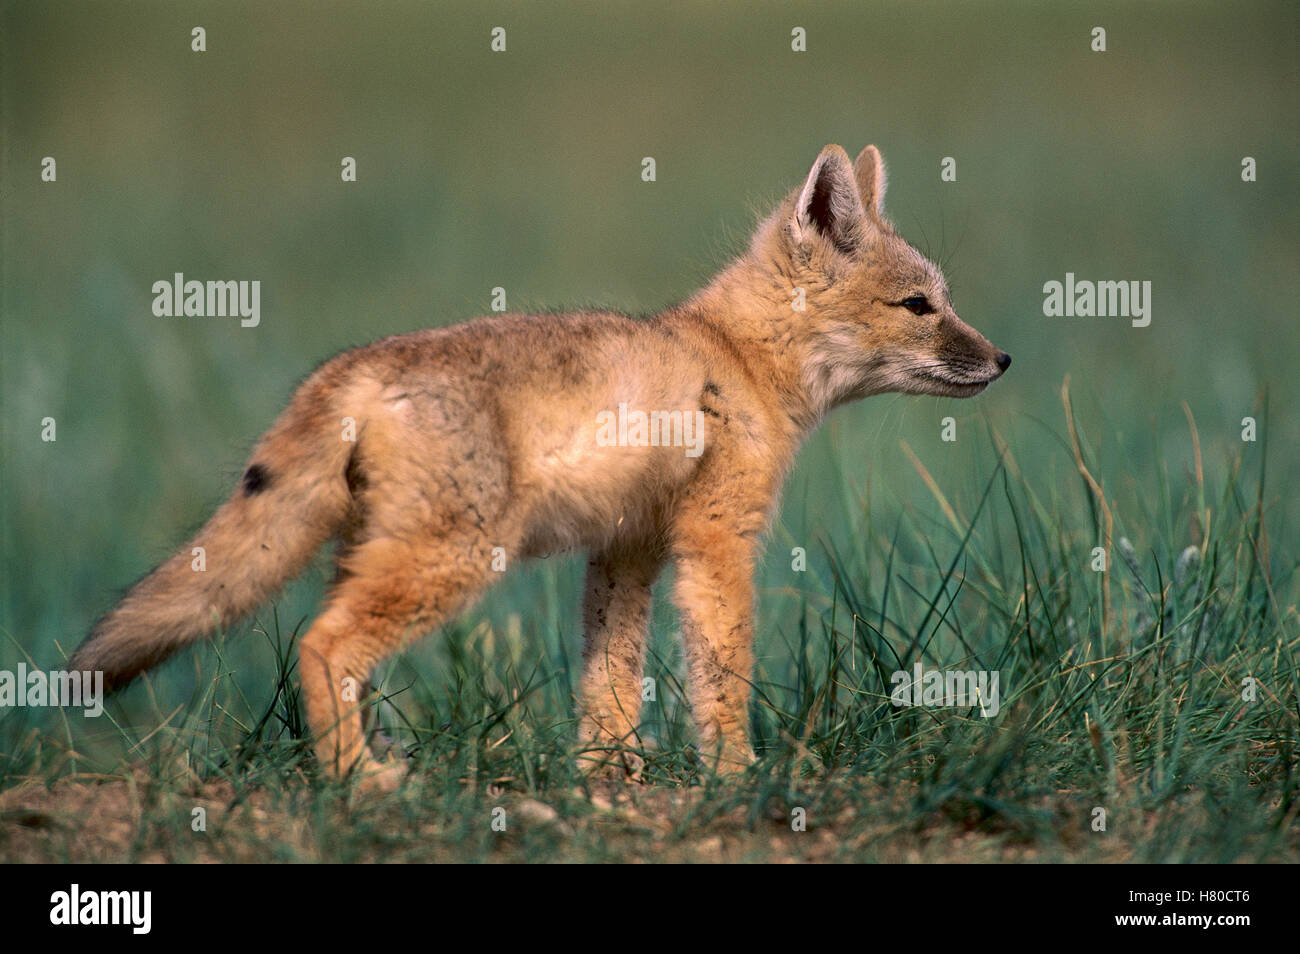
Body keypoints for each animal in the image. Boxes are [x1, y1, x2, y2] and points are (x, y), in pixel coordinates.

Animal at [69, 143, 1010, 791]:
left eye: (943, 302)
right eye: (919, 307)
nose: (1004, 359)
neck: (732, 357)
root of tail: (353, 366)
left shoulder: (627, 550)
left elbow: (610, 678)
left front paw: (611, 778)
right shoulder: (717, 543)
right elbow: (721, 672)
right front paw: (735, 775)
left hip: (382, 556)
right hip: (449, 561)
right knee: (320, 644)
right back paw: (359, 783)